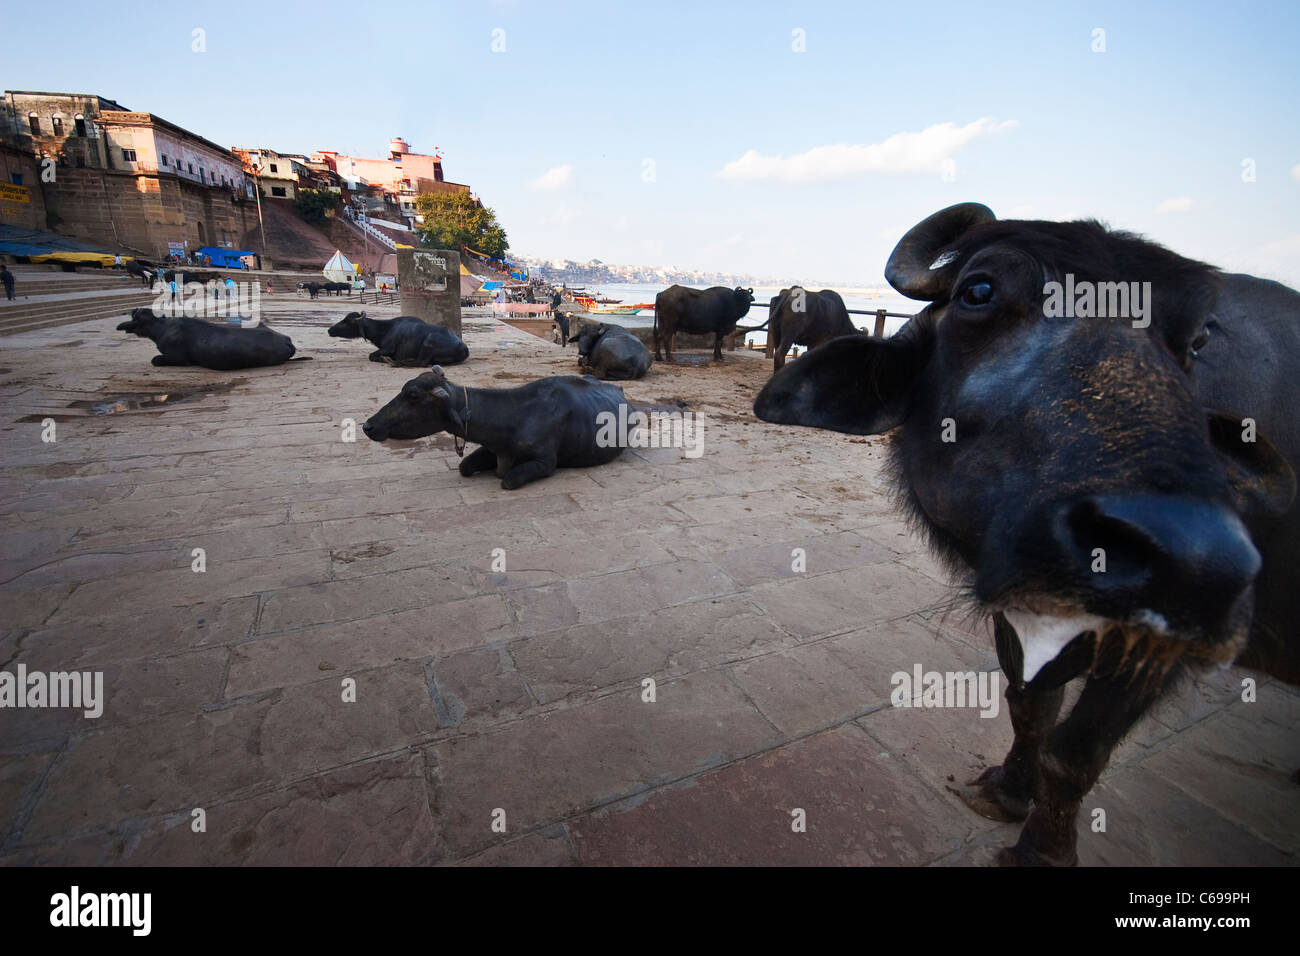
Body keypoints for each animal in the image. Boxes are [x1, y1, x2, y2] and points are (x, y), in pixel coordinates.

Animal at [116, 307, 308, 370]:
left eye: (136, 317)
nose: (133, 309)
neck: (160, 328)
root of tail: (286, 341)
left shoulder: (178, 358)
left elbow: (155, 360)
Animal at [327, 311, 468, 367]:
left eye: (346, 322)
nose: (330, 330)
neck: (385, 329)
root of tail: (464, 348)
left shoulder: (388, 348)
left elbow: (371, 355)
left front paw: (384, 359)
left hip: (429, 341)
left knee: (421, 362)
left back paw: (397, 362)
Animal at [362, 366, 628, 489]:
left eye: (413, 395)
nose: (367, 425)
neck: (515, 415)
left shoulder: (544, 462)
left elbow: (507, 481)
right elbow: (464, 466)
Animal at [754, 202, 1299, 866]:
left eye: (1195, 342)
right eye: (978, 291)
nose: (1197, 565)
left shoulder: (1156, 648)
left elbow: (1071, 753)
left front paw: (1042, 849)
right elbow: (1029, 708)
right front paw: (1009, 790)